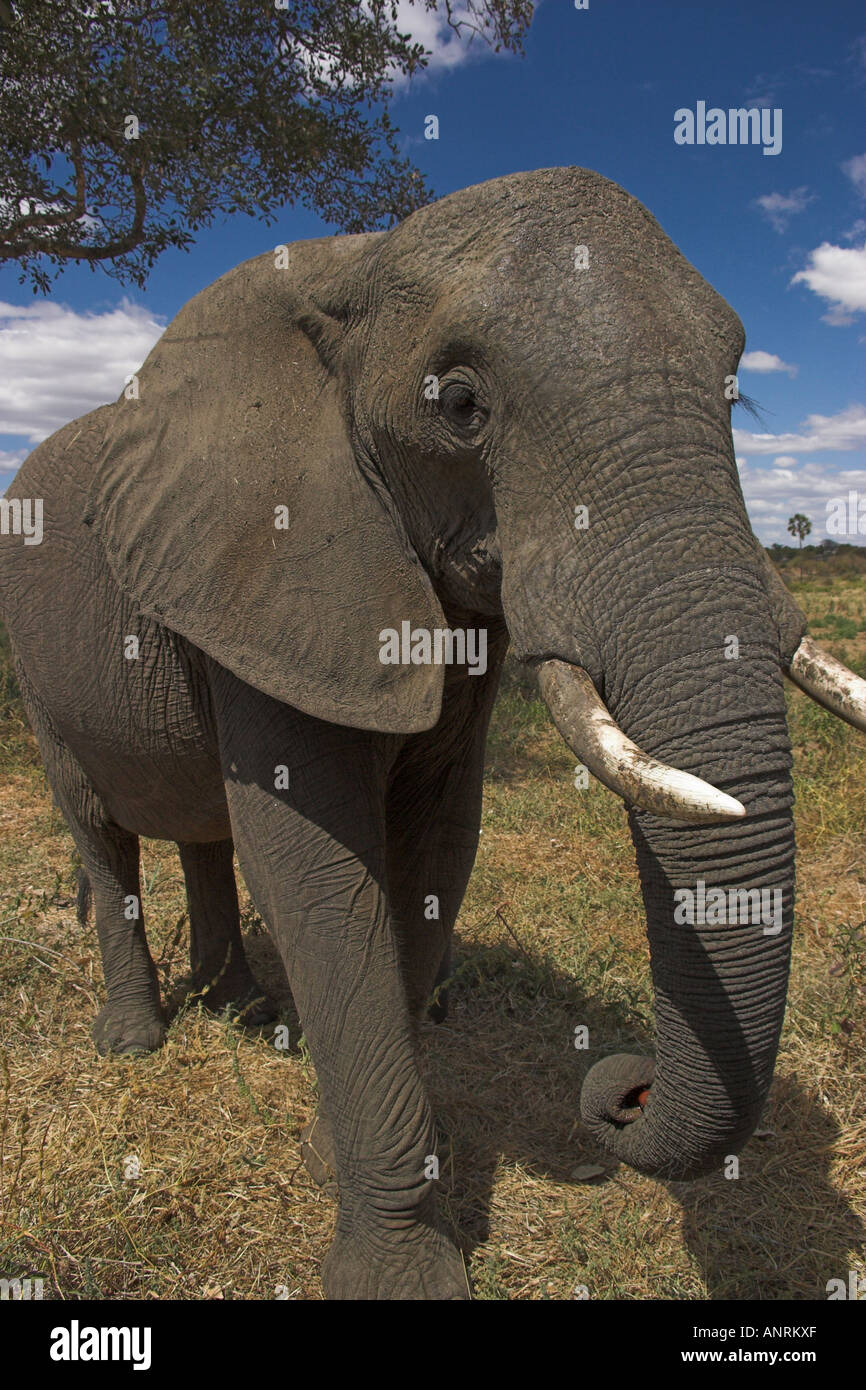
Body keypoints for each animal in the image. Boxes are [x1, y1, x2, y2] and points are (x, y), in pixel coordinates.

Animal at [1, 166, 864, 1301]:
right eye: (458, 406)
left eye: (734, 397)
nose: (620, 1089)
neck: (356, 264)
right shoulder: (275, 560)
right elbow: (318, 872)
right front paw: (399, 1270)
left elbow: (435, 843)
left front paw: (332, 1153)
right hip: (39, 676)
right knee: (100, 833)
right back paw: (137, 1042)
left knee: (204, 835)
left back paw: (238, 1010)